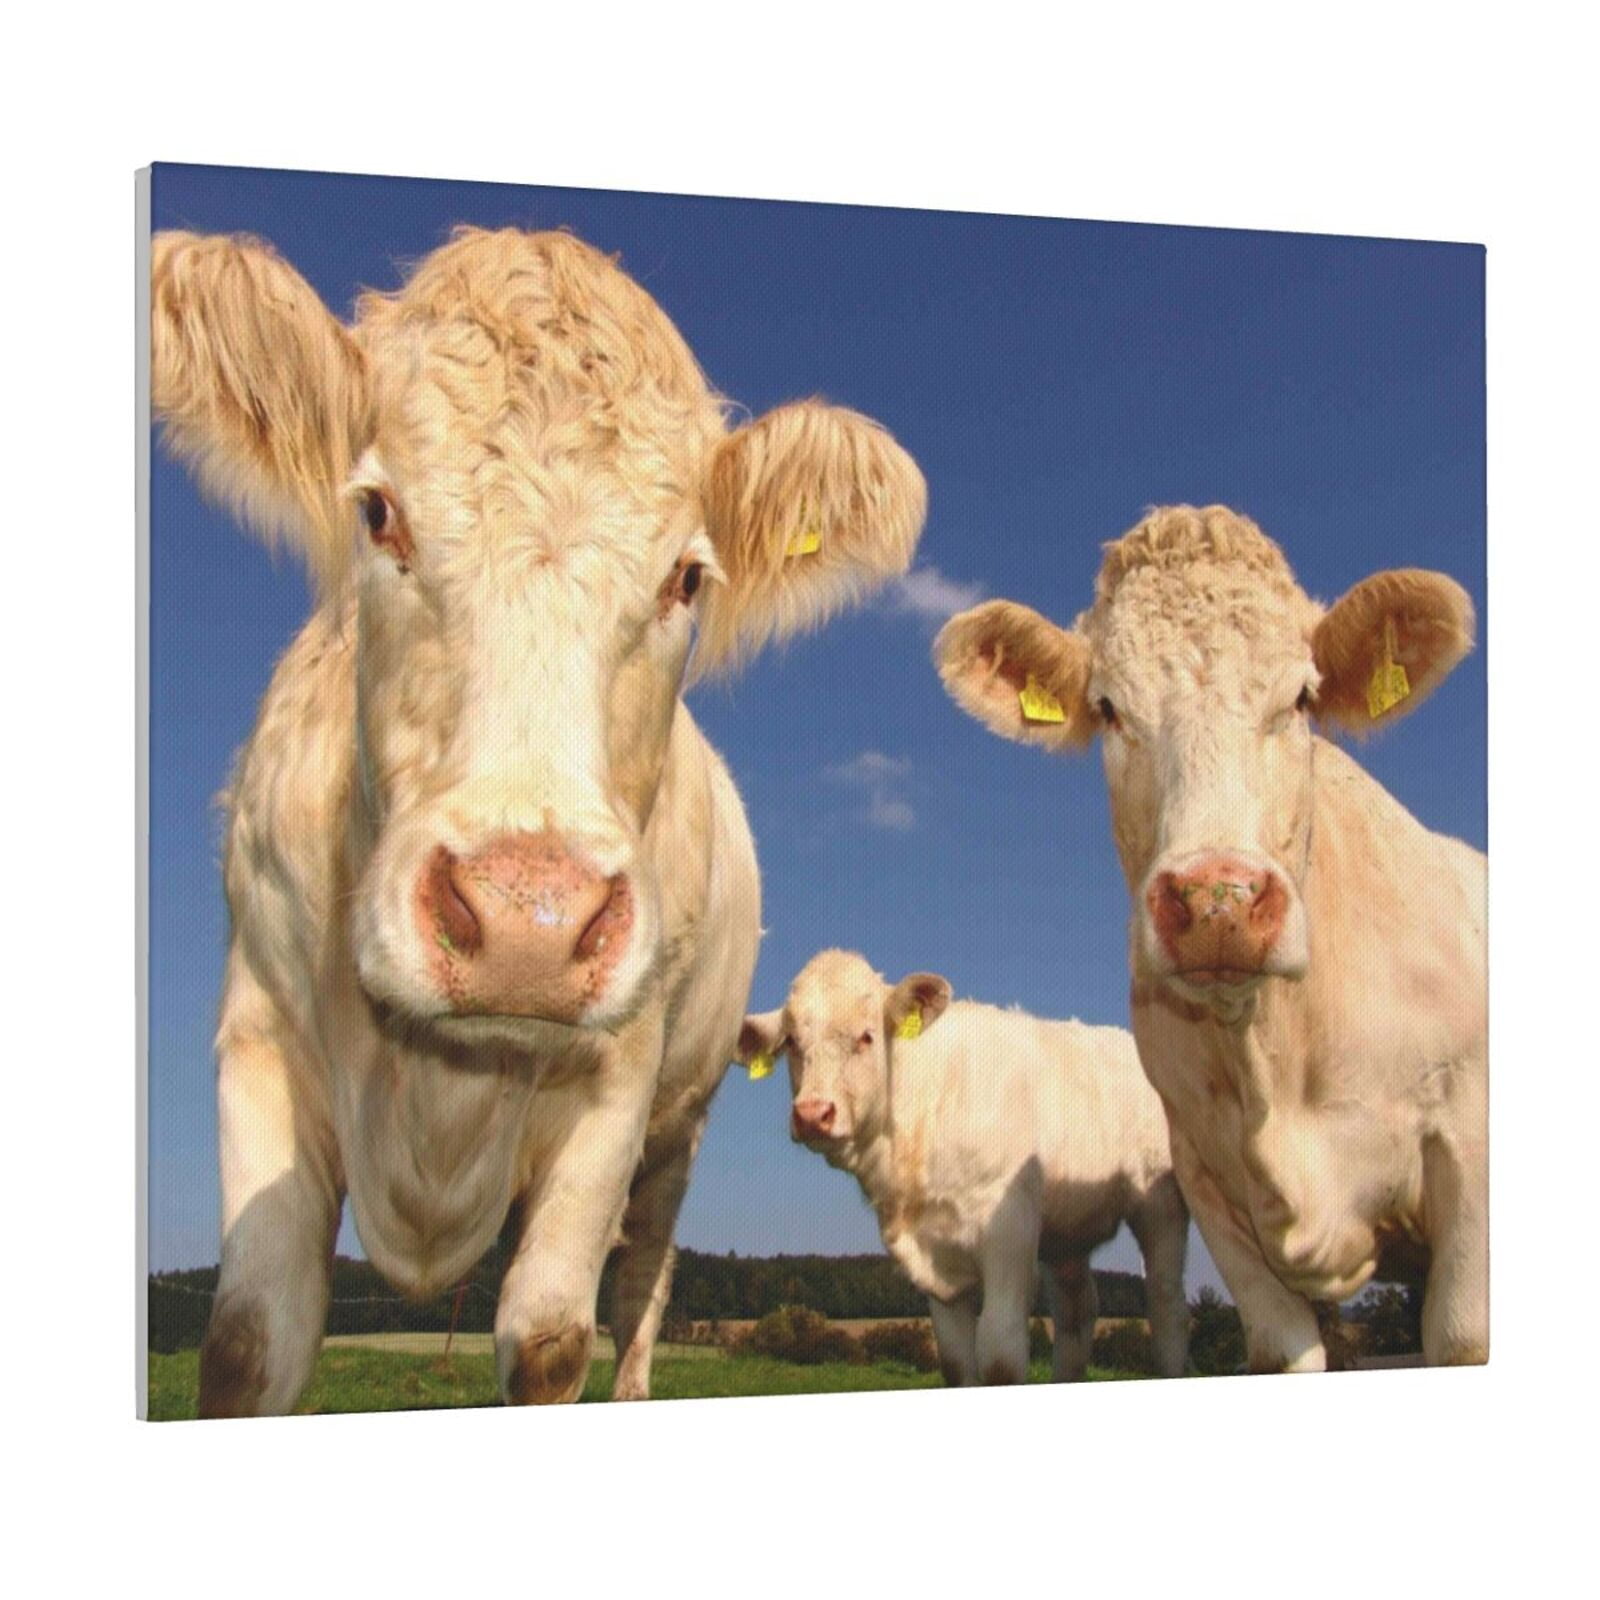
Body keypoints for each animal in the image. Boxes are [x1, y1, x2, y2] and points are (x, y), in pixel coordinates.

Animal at [149, 226, 927, 1413]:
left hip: (678, 1129)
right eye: (377, 512)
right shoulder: (258, 1037)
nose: (527, 922)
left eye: (687, 577)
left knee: (640, 1287)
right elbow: (246, 1340)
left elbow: (556, 1337)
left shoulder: (620, 1082)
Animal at [737, 950, 1190, 1384]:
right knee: (1077, 1310)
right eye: (791, 1041)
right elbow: (956, 1365)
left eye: (867, 1035)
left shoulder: (1009, 1232)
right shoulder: (937, 1266)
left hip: (1160, 1201)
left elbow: (1001, 1357)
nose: (812, 1114)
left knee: (1166, 1304)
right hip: (1066, 1230)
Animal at [933, 505, 1485, 1372]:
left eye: (1302, 696)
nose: (1217, 899)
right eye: (1109, 708)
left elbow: (1462, 1338)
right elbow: (1282, 1350)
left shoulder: (1469, 1150)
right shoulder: (1209, 1183)